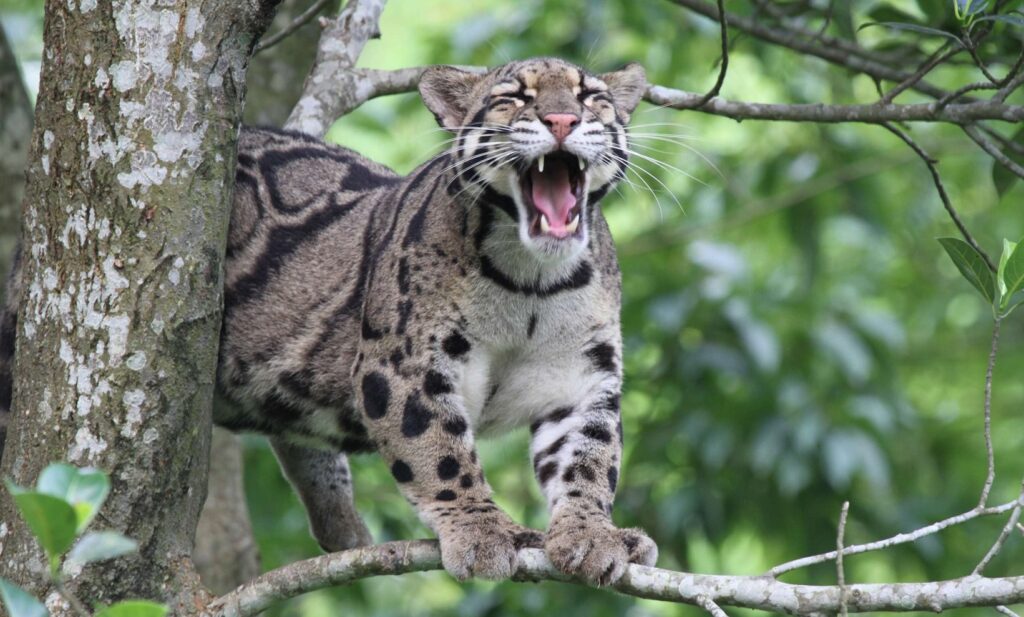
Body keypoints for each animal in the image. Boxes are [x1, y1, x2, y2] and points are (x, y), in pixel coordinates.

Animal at [0, 57, 658, 586]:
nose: (562, 121)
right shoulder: (404, 365)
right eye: (512, 98)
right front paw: (483, 531)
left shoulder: (581, 376)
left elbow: (589, 458)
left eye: (591, 97)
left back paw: (343, 529)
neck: (532, 280)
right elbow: (440, 450)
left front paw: (593, 534)